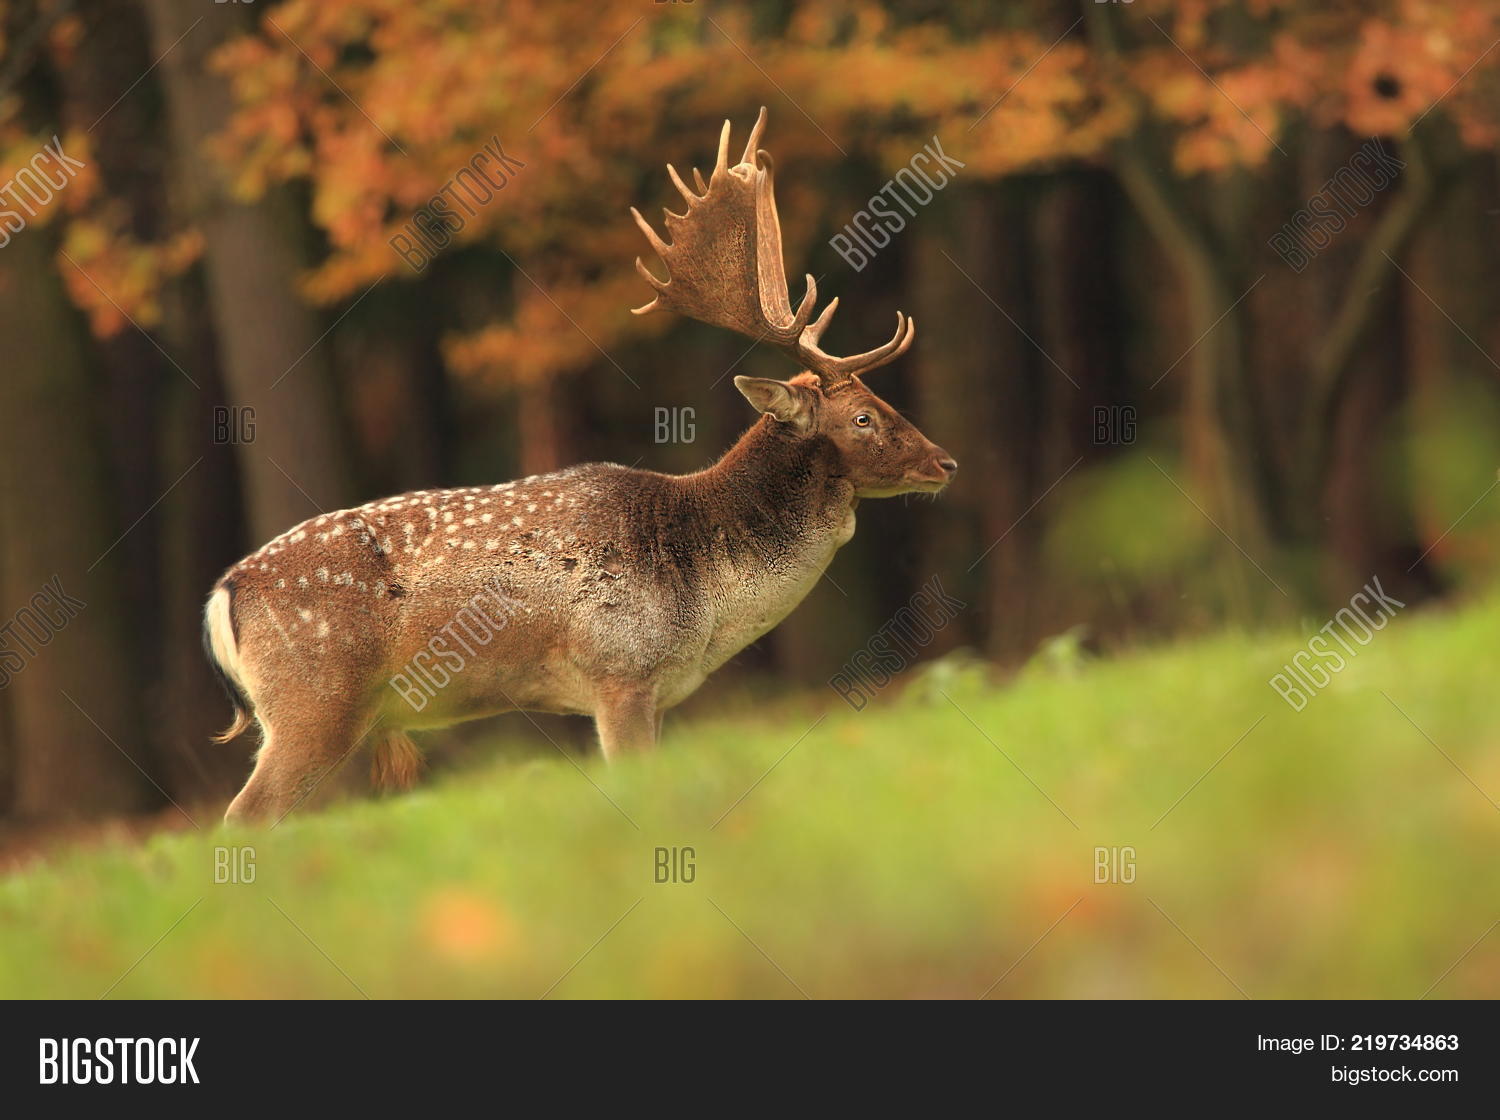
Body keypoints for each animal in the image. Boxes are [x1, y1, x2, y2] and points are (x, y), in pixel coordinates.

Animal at [205, 108, 957, 824]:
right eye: (863, 418)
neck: (704, 597)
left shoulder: (655, 694)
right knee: (245, 815)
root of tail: (225, 591)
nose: (945, 462)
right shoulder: (619, 671)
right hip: (316, 701)